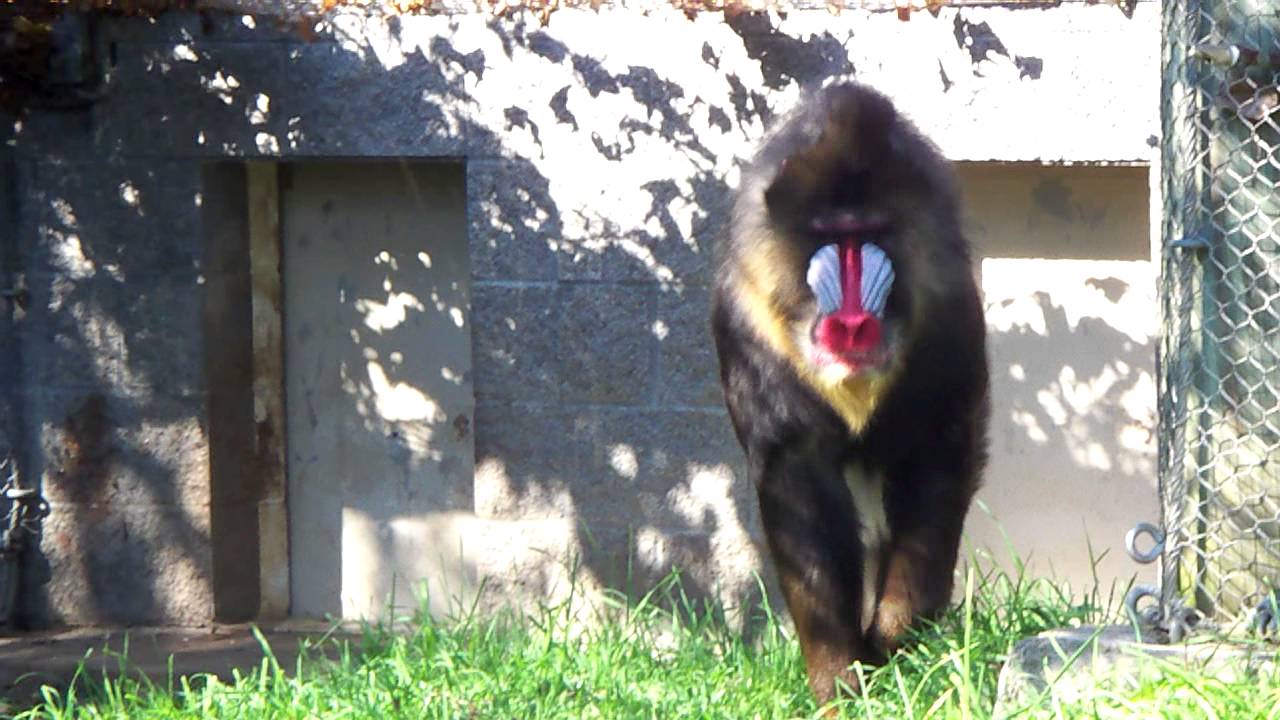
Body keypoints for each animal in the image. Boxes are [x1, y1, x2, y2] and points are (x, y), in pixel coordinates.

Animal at [710, 82, 989, 703]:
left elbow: (933, 477)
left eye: (873, 233)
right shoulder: (752, 333)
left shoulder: (948, 324)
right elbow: (805, 507)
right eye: (828, 236)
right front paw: (840, 683)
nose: (852, 326)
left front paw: (896, 641)